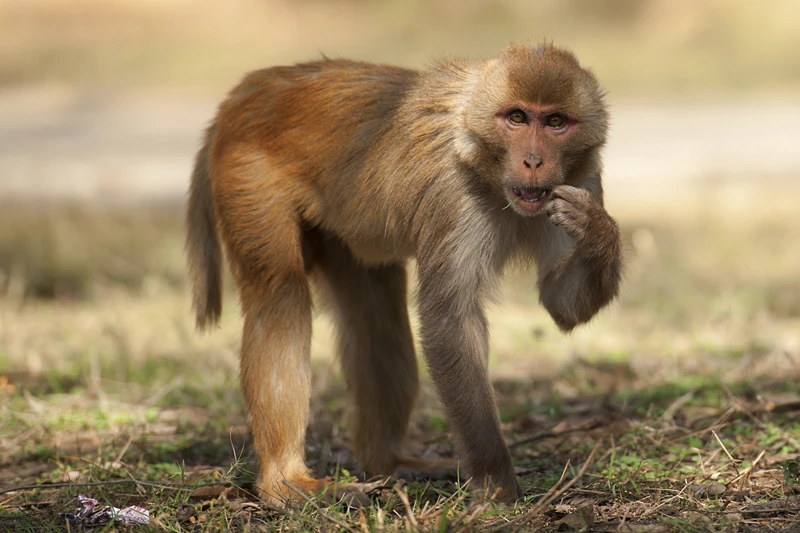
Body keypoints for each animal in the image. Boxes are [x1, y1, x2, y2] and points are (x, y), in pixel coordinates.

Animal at [186, 43, 622, 505]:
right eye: (518, 118)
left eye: (555, 122)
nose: (534, 160)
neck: (483, 163)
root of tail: (242, 93)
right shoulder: (452, 194)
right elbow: (451, 321)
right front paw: (496, 481)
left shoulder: (581, 180)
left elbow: (560, 303)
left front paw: (596, 229)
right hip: (246, 176)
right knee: (280, 295)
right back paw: (286, 481)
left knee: (374, 311)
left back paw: (390, 462)